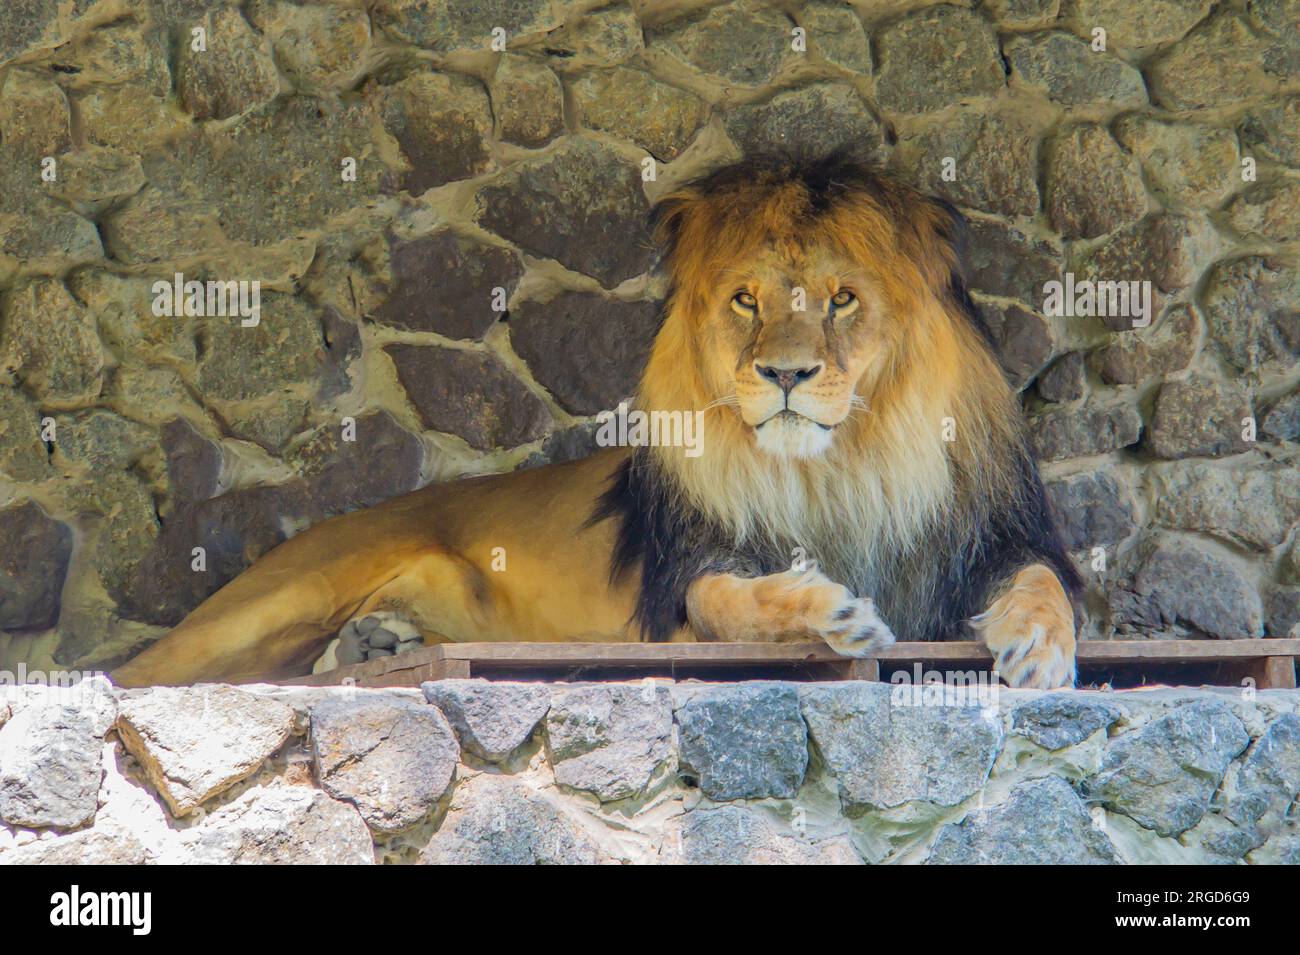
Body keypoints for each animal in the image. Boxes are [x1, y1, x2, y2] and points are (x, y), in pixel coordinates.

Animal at [111, 155, 1082, 690]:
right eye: (746, 300)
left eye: (842, 298)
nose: (786, 374)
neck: (839, 469)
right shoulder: (684, 585)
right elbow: (737, 600)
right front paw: (829, 614)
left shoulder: (993, 535)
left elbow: (1046, 584)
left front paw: (1039, 650)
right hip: (280, 596)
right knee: (134, 675)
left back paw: (373, 640)